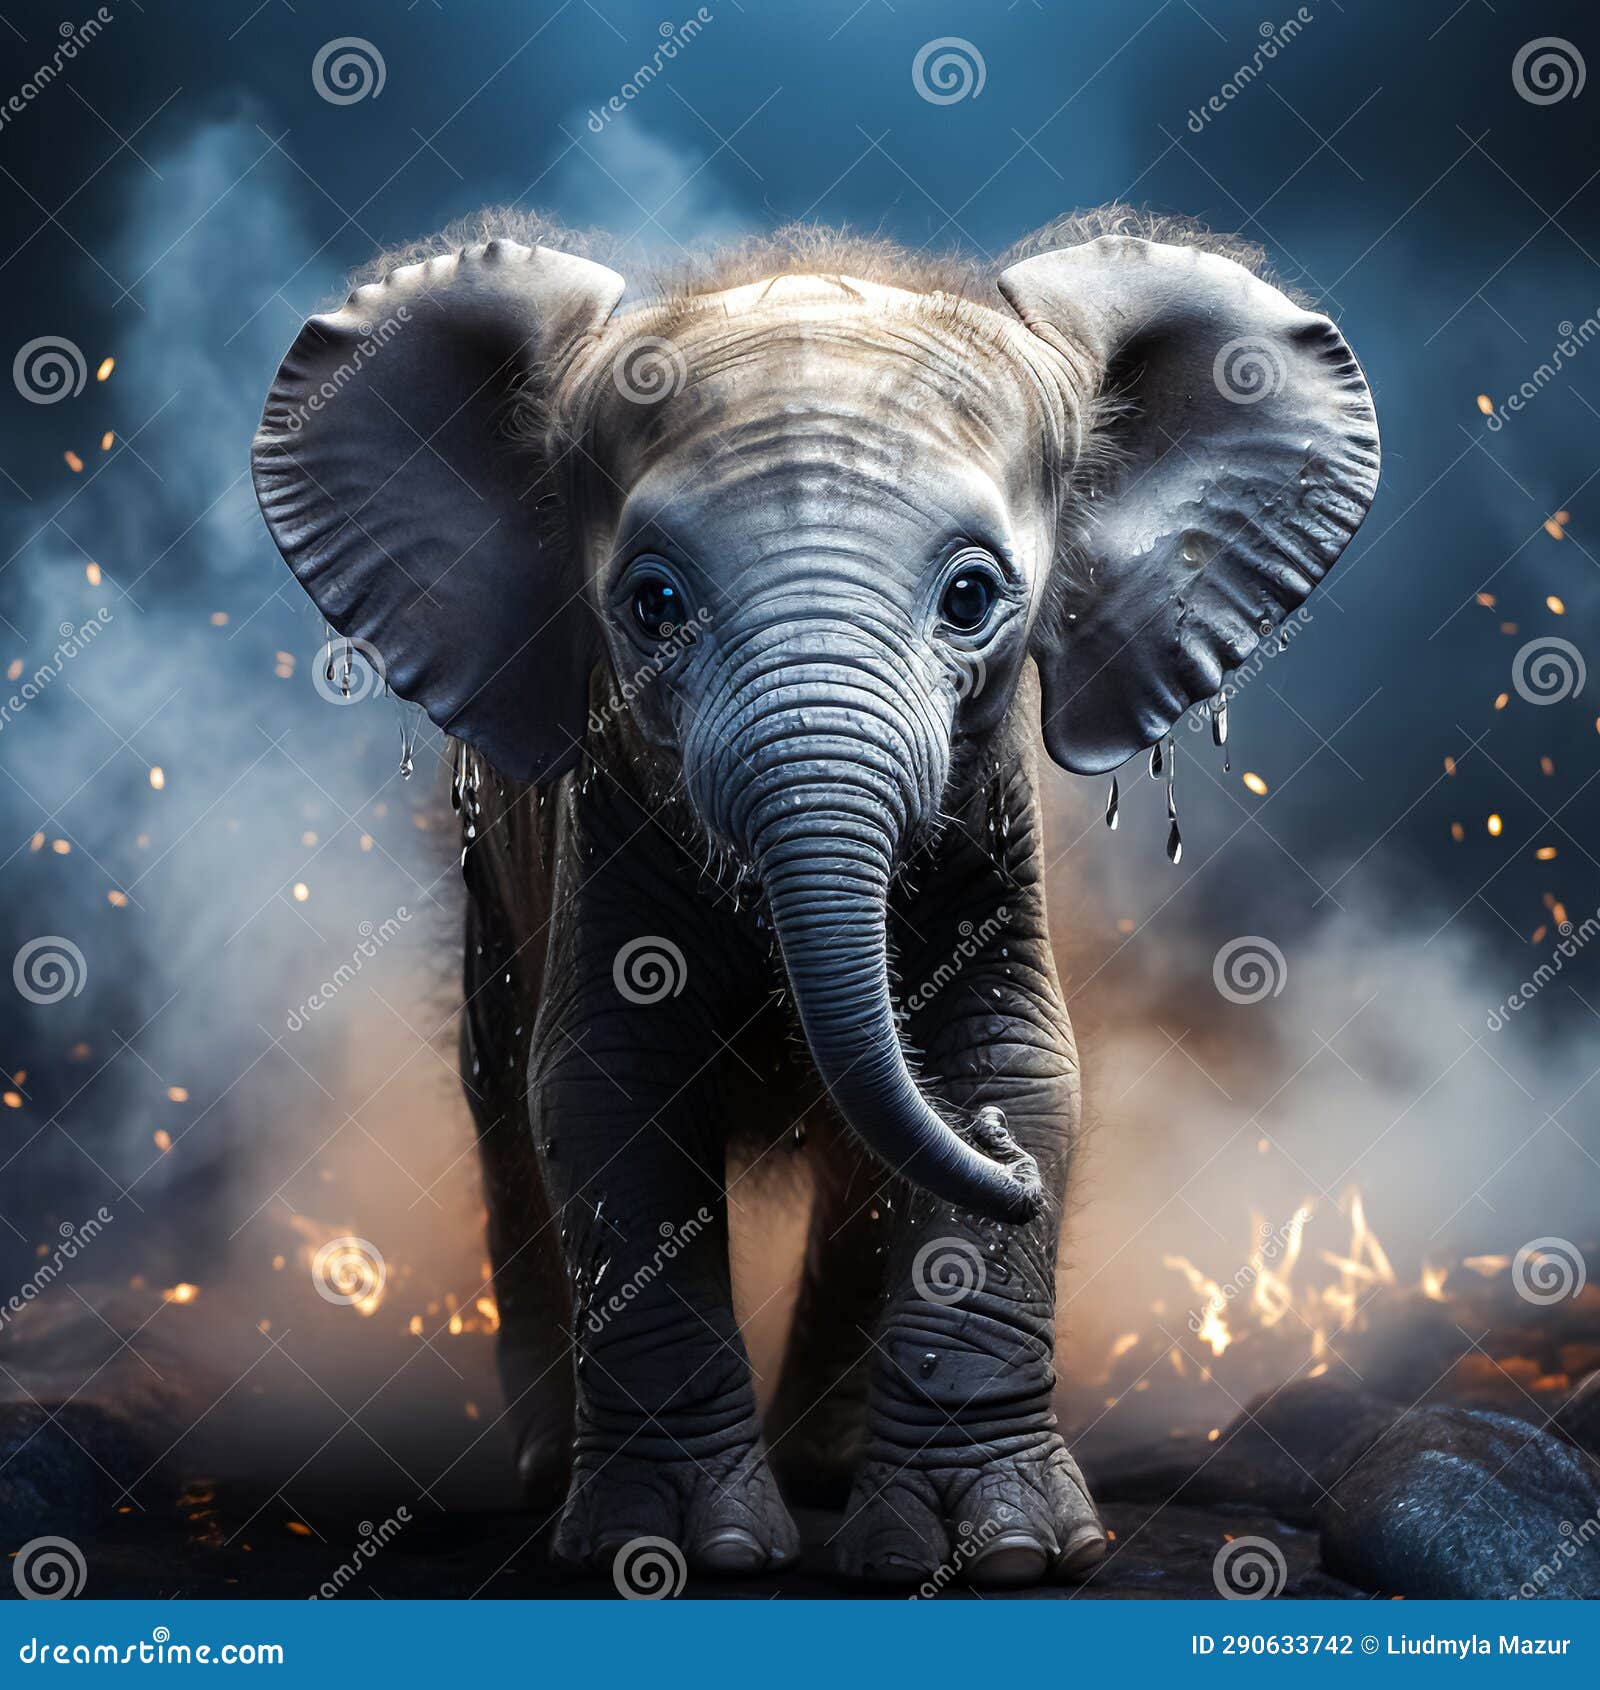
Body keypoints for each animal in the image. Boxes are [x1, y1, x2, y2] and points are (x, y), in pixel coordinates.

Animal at [252, 206, 1378, 1589]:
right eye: (652, 606)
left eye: (971, 598)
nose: (999, 1165)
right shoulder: (607, 811)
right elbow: (605, 1093)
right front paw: (677, 1550)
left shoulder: (988, 826)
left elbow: (1012, 1058)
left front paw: (997, 1554)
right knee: (505, 1092)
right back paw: (549, 1473)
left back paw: (829, 1470)